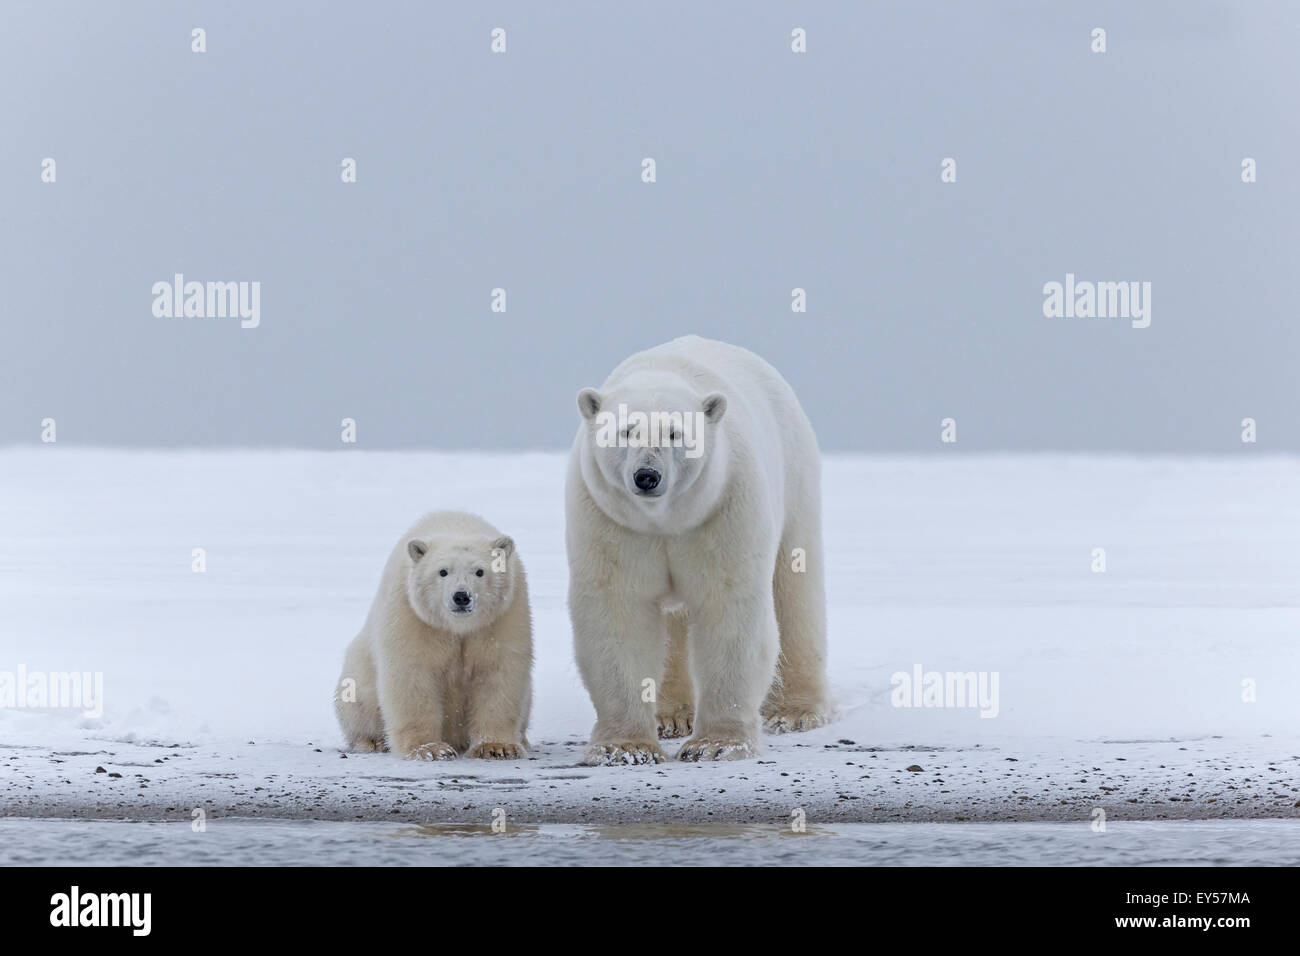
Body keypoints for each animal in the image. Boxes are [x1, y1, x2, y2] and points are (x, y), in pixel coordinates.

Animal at [334, 511, 532, 760]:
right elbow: (412, 673)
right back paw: (373, 741)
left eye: (479, 571)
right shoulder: (411, 612)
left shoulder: (504, 615)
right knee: (358, 699)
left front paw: (497, 747)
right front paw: (429, 749)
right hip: (359, 672)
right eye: (443, 571)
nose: (461, 597)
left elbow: (498, 671)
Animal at [566, 334, 830, 765]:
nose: (647, 476)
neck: (665, 519)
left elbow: (730, 609)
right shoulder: (610, 521)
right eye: (625, 431)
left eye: (676, 433)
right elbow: (618, 613)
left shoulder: (725, 505)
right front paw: (624, 748)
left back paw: (795, 712)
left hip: (796, 475)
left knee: (795, 588)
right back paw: (671, 716)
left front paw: (717, 744)